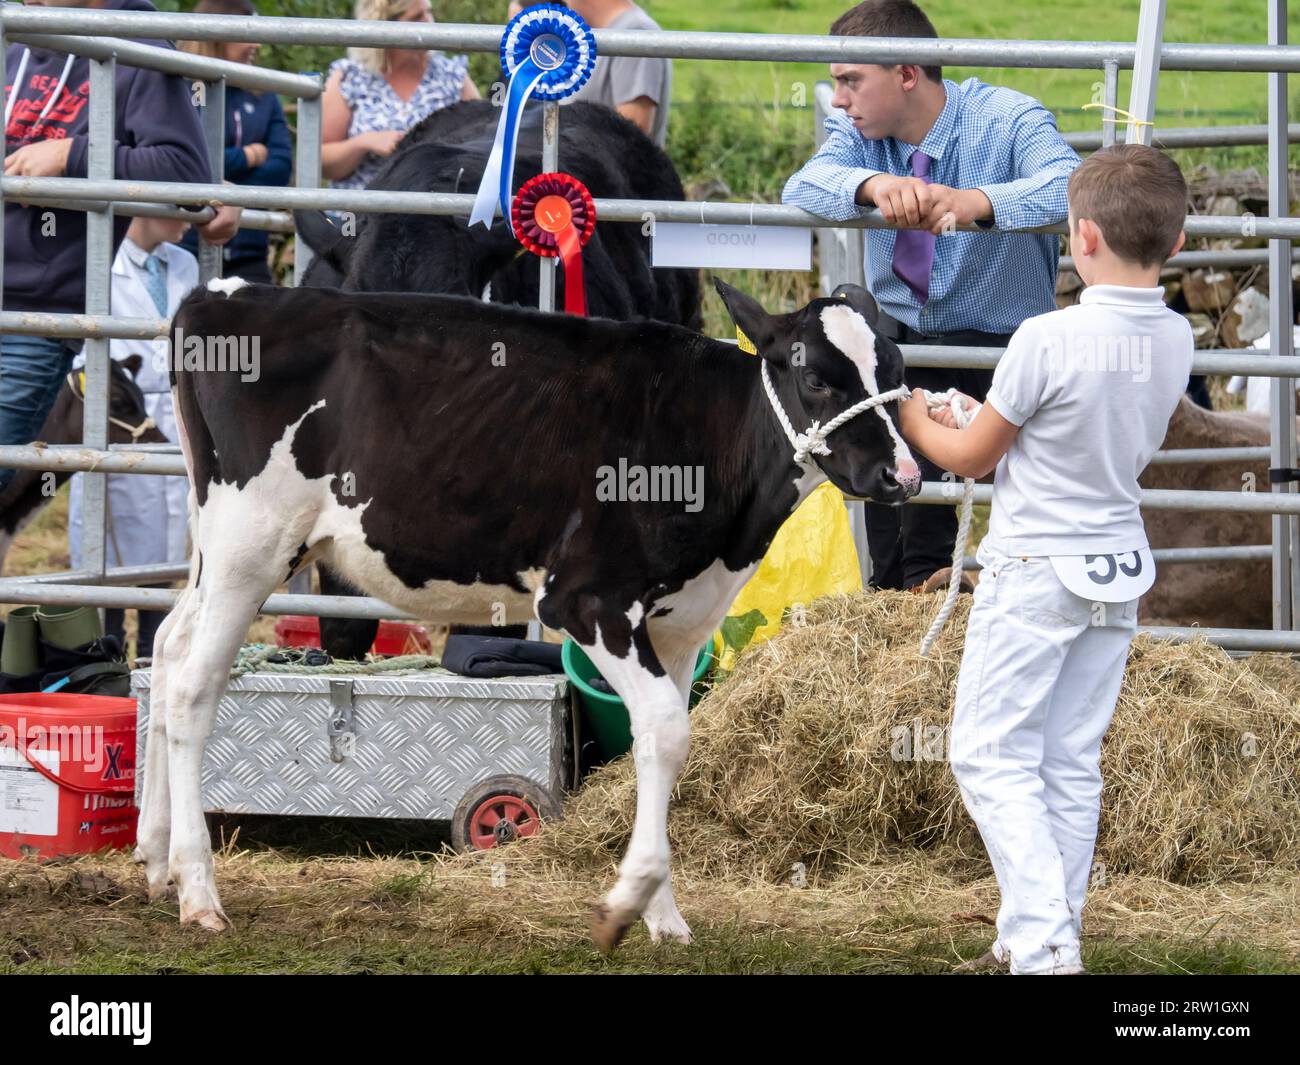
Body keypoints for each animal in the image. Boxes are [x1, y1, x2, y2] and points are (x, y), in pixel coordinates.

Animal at [139, 277, 920, 949]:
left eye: (897, 370)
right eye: (817, 379)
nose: (905, 475)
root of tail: (226, 293)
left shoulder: (680, 623)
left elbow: (660, 741)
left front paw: (663, 916)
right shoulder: (585, 598)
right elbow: (667, 732)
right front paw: (624, 903)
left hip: (219, 549)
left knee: (168, 648)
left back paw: (154, 860)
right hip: (250, 542)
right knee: (194, 685)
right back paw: (199, 892)